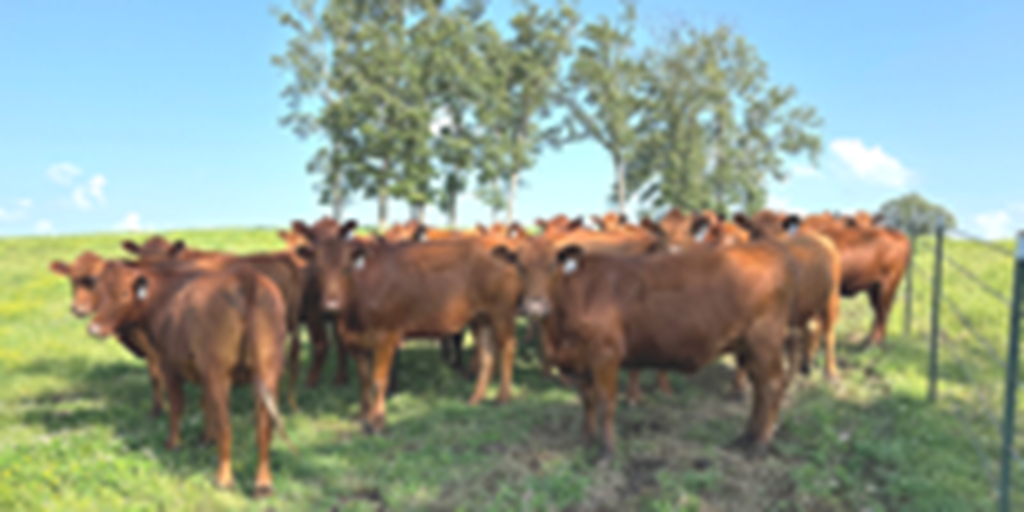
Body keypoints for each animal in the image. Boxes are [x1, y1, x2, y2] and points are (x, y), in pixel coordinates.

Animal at [86, 260, 289, 497]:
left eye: (124, 293)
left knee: (226, 425)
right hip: (267, 372)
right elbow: (205, 403)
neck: (167, 294)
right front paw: (206, 439)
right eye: (99, 293)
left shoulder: (169, 364)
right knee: (264, 425)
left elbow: (177, 406)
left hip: (219, 373)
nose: (93, 328)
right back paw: (263, 484)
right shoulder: (203, 374)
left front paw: (173, 444)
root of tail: (246, 276)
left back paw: (223, 478)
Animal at [293, 220, 521, 434]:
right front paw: (363, 416)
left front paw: (377, 422)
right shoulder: (357, 342)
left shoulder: (386, 336)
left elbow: (378, 381)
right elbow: (364, 381)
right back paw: (475, 399)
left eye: (347, 268)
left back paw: (503, 397)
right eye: (317, 268)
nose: (331, 305)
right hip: (480, 319)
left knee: (508, 347)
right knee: (487, 356)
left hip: (501, 313)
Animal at [494, 236, 798, 458]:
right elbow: (587, 401)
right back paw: (745, 437)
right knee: (760, 388)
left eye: (552, 266)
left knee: (771, 385)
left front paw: (607, 451)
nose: (534, 305)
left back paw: (760, 443)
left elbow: (606, 403)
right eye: (519, 265)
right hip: (749, 347)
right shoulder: (581, 363)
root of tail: (766, 249)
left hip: (763, 342)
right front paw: (586, 442)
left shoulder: (606, 356)